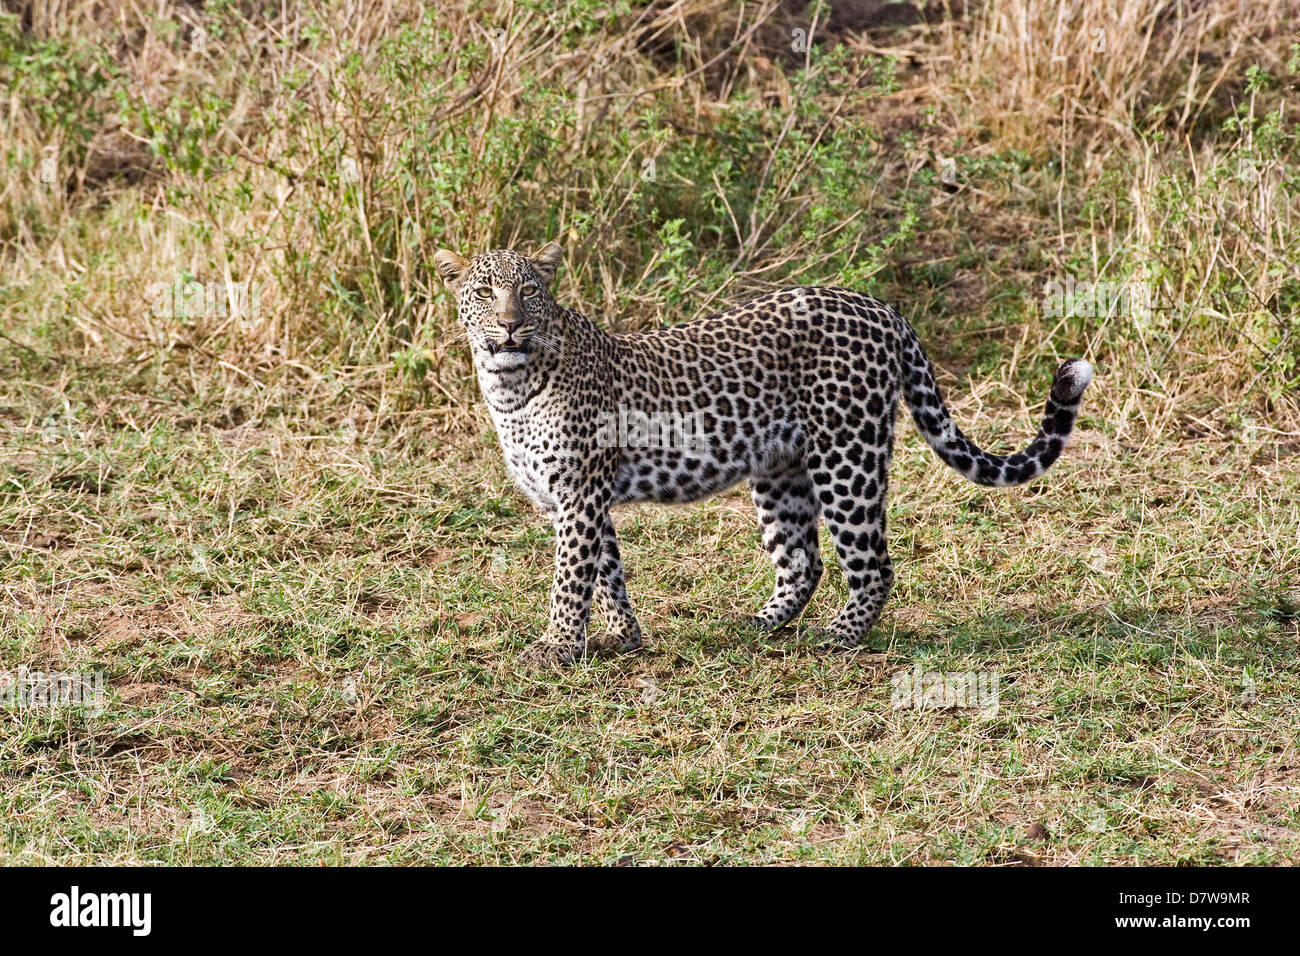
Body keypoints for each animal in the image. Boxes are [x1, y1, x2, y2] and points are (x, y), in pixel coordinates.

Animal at [433, 241, 1093, 667]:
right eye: (485, 292)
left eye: (528, 292)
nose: (509, 326)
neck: (509, 385)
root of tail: (880, 306)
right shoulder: (577, 499)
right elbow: (607, 573)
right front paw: (624, 638)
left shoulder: (581, 493)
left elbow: (571, 577)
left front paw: (557, 647)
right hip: (781, 470)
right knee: (804, 561)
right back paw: (756, 626)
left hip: (848, 456)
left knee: (873, 565)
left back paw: (840, 638)